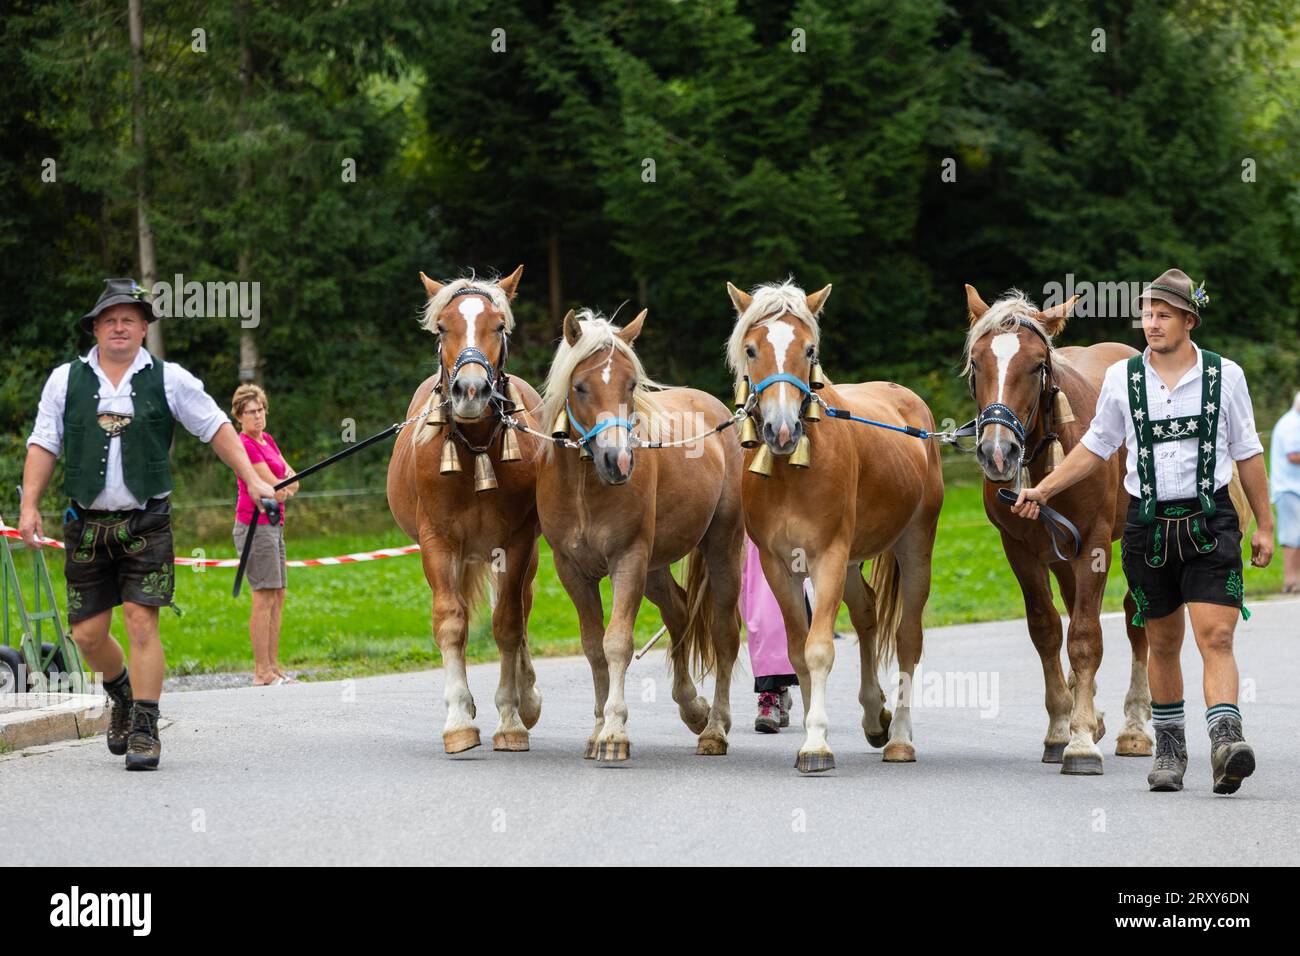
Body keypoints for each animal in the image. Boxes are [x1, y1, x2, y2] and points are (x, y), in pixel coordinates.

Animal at [387, 267, 545, 755]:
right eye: (442, 327)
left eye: (499, 326)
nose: (471, 390)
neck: (475, 446)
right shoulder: (438, 543)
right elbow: (451, 622)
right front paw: (458, 719)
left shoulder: (516, 542)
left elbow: (508, 624)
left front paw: (511, 716)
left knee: (521, 606)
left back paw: (528, 695)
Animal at [535, 308, 744, 762]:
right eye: (580, 386)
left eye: (631, 384)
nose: (618, 460)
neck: (585, 486)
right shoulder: (572, 571)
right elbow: (593, 646)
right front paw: (598, 729)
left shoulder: (627, 561)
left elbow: (617, 643)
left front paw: (614, 733)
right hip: (655, 569)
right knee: (679, 613)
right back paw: (692, 708)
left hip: (721, 549)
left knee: (725, 635)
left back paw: (714, 728)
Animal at [726, 279, 945, 773]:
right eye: (751, 349)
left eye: (809, 349)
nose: (781, 428)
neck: (790, 472)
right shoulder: (779, 566)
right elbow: (796, 651)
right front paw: (813, 729)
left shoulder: (827, 558)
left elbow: (819, 648)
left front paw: (816, 744)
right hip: (849, 563)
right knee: (866, 614)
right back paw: (875, 716)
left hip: (914, 545)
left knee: (908, 637)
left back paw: (899, 739)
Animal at [961, 284, 1157, 774]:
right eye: (977, 362)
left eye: (1037, 364)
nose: (997, 452)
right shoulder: (1019, 549)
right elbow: (1047, 629)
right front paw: (1061, 726)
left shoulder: (1094, 544)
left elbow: (1086, 637)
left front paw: (1081, 740)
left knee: (1133, 616)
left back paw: (1134, 726)